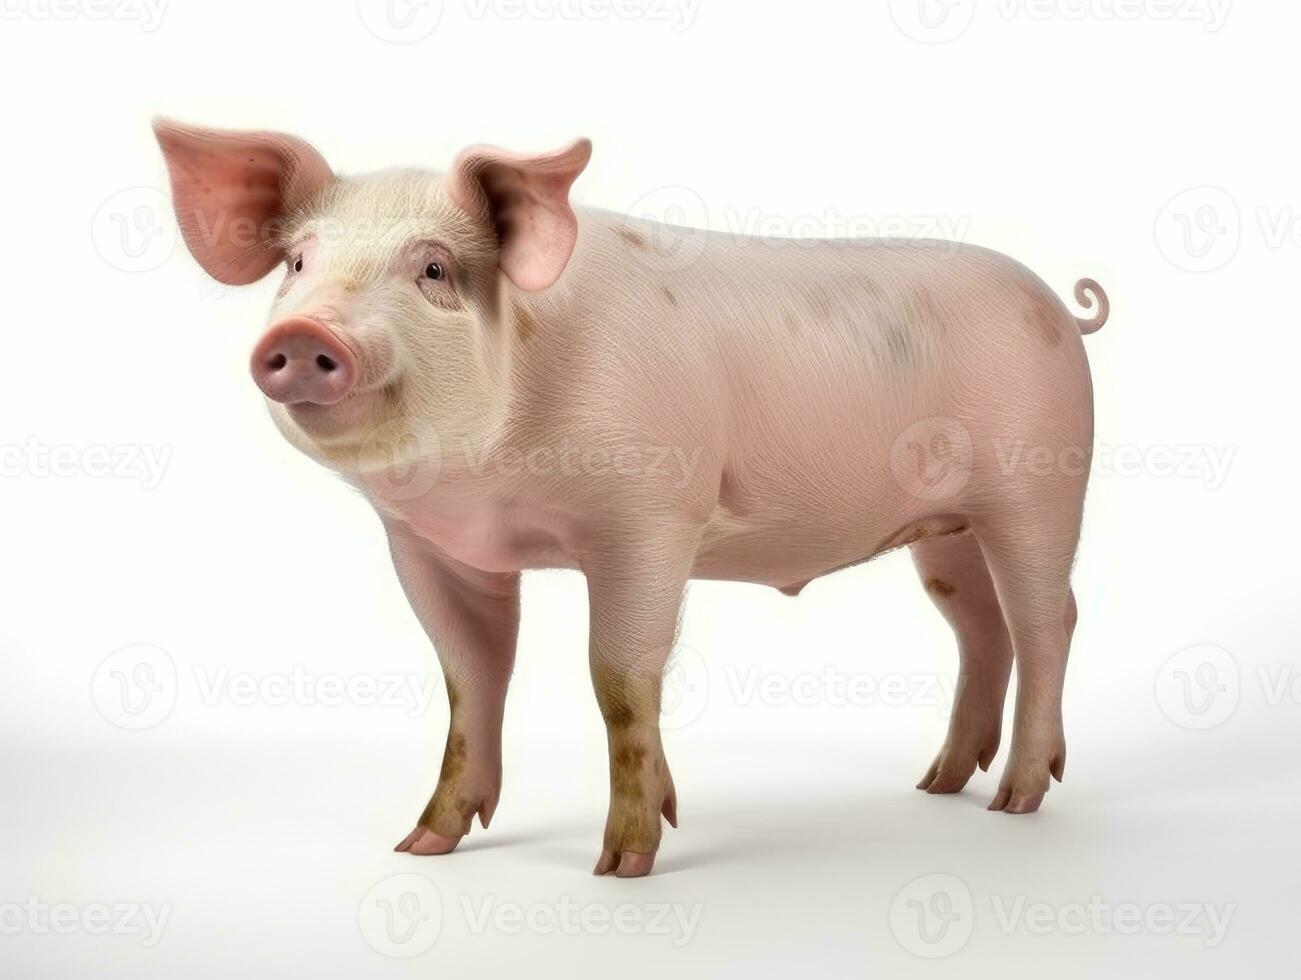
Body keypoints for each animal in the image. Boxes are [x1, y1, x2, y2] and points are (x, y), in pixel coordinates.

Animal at [154, 119, 1110, 877]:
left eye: (432, 268)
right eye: (296, 263)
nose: (300, 333)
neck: (489, 481)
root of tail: (1062, 309)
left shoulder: (649, 519)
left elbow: (618, 680)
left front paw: (622, 865)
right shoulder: (429, 546)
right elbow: (468, 678)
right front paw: (420, 846)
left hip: (1042, 484)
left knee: (1046, 619)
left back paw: (1014, 801)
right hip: (944, 529)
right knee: (978, 627)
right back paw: (938, 783)